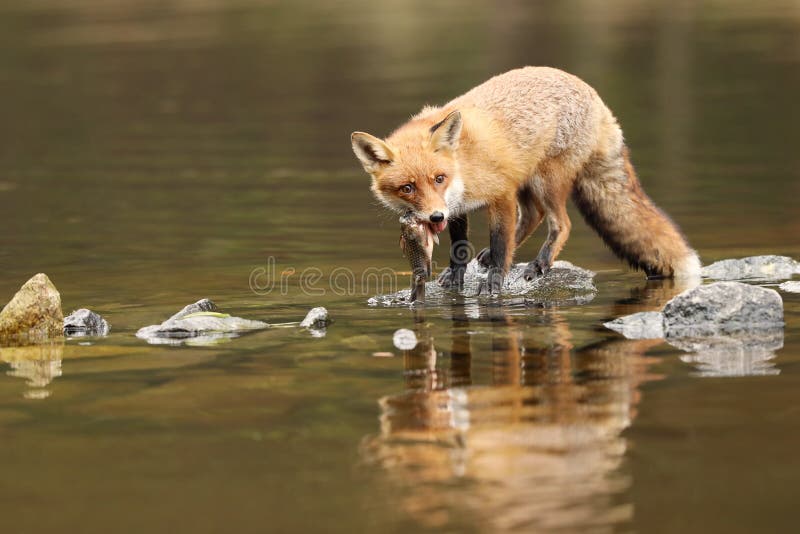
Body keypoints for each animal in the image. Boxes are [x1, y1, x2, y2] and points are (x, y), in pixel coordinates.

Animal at [351, 66, 701, 293]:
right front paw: (456, 275)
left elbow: (500, 242)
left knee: (560, 223)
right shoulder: (457, 206)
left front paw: (494, 282)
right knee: (535, 215)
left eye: (438, 178)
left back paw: (539, 265)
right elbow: (460, 245)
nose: (434, 217)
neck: (464, 165)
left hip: (546, 181)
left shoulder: (501, 194)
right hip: (528, 182)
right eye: (407, 188)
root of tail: (596, 98)